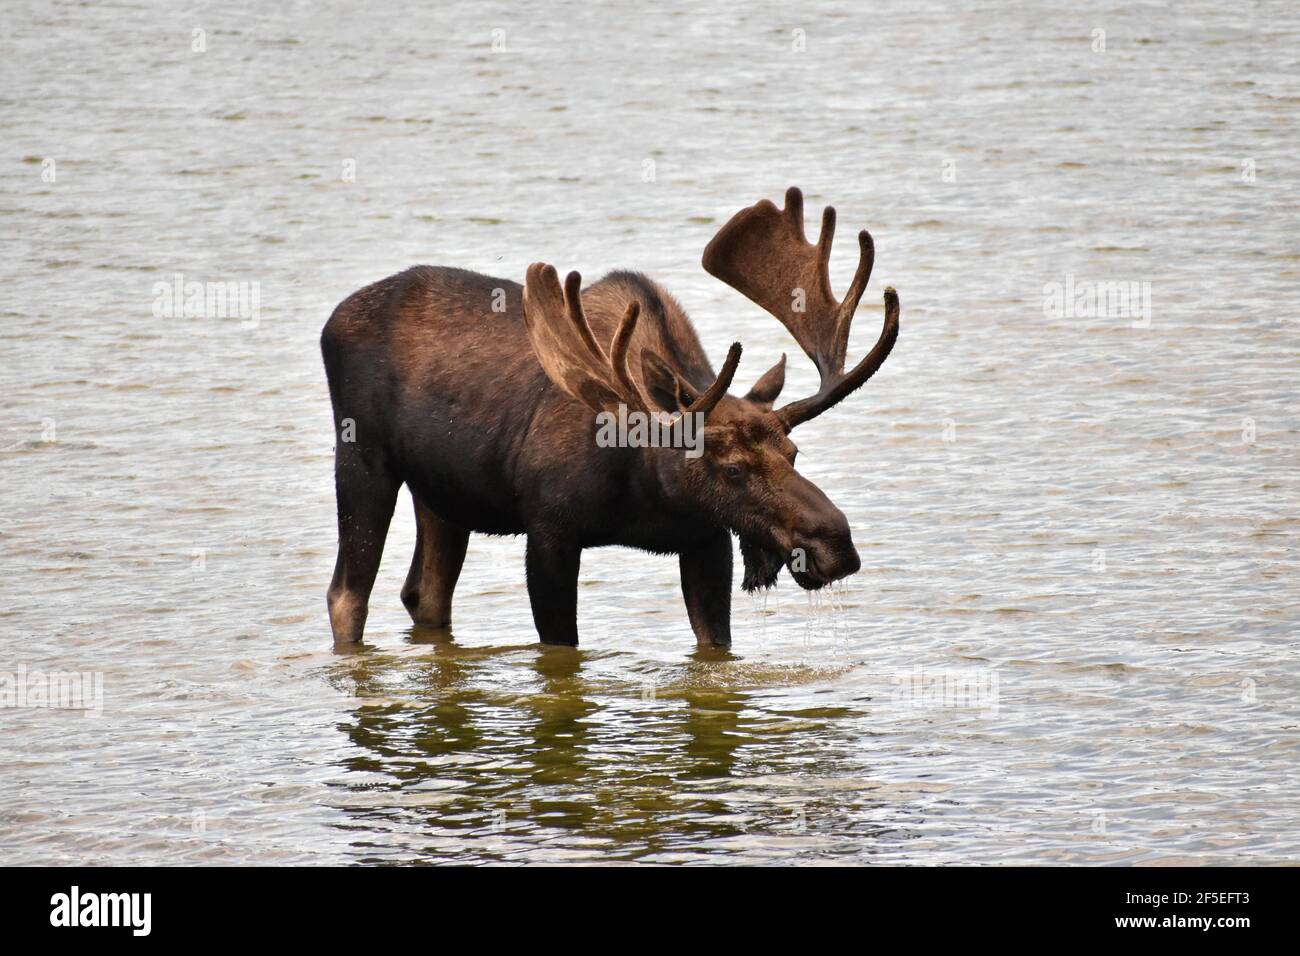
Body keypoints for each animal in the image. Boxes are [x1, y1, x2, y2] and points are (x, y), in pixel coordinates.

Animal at [320, 187, 899, 646]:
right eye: (732, 468)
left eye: (794, 453)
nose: (836, 545)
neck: (647, 485)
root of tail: (332, 321)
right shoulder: (548, 531)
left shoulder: (706, 539)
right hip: (361, 457)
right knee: (346, 594)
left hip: (442, 495)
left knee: (424, 593)